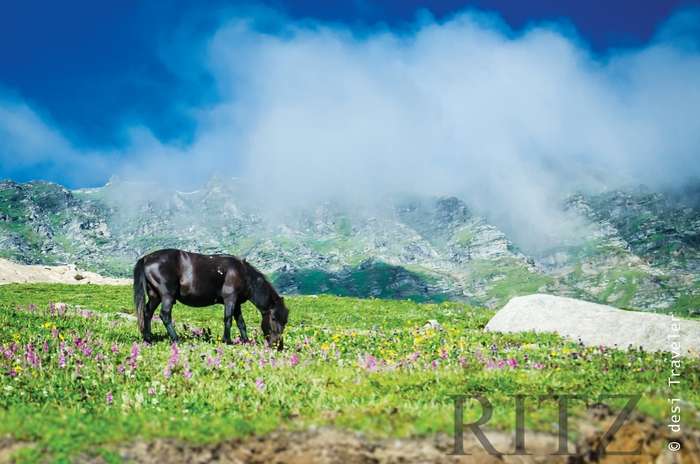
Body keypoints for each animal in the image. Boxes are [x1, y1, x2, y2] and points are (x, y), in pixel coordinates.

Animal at [132, 248, 288, 350]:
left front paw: (246, 341)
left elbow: (241, 322)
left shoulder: (237, 303)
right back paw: (176, 339)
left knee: (147, 313)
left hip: (155, 296)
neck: (243, 273)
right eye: (274, 318)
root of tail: (146, 258)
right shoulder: (230, 299)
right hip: (166, 296)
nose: (277, 345)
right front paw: (228, 341)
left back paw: (148, 339)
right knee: (164, 315)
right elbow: (228, 319)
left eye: (285, 321)